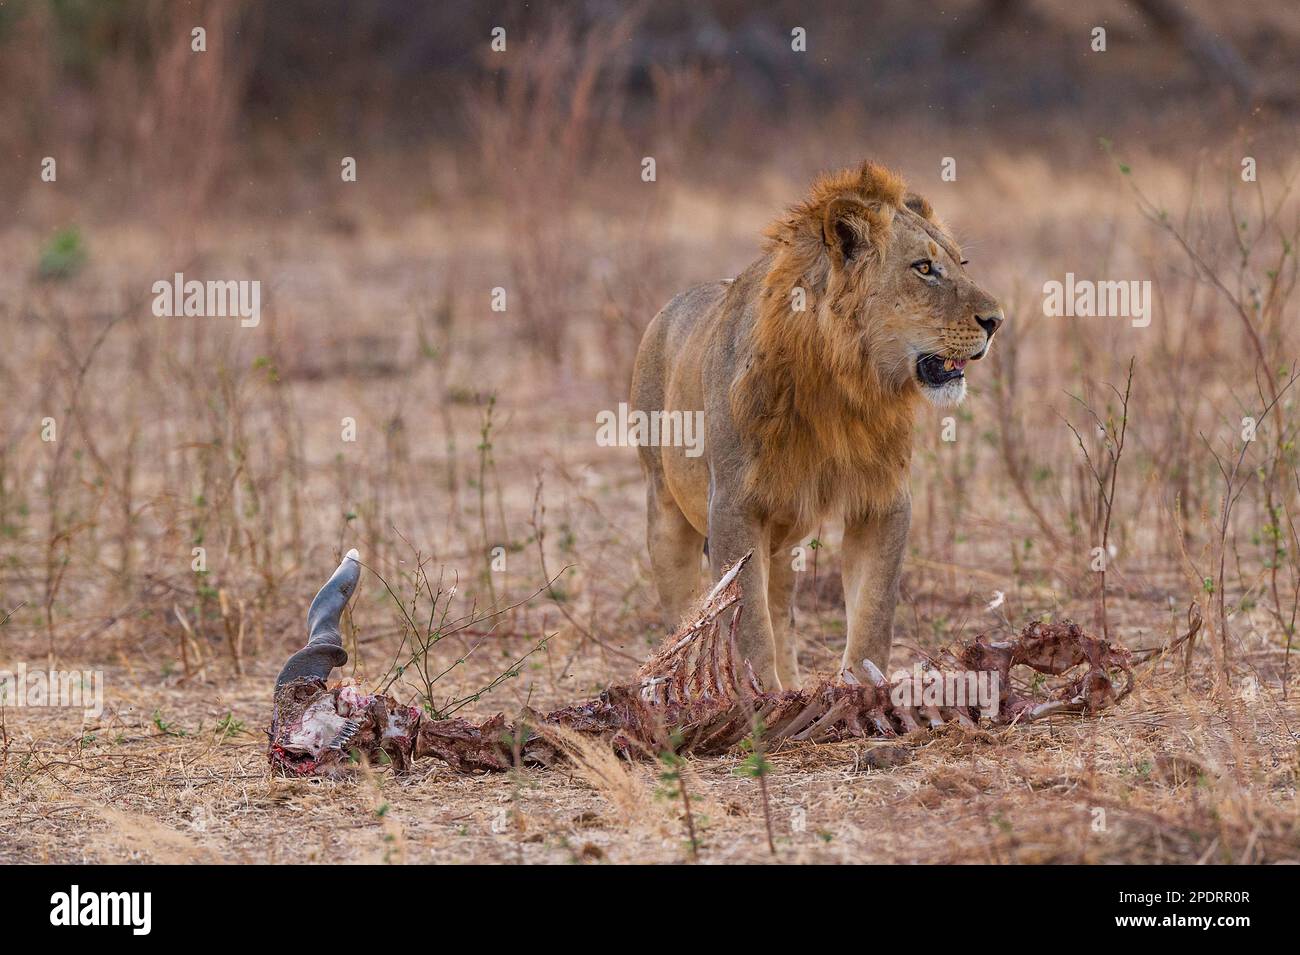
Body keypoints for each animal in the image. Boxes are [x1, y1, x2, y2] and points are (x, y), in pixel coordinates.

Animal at [630, 160, 1004, 690]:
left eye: (960, 263)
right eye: (924, 268)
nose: (997, 321)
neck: (843, 384)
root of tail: (667, 308)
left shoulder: (884, 500)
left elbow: (872, 615)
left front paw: (861, 693)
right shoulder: (733, 508)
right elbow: (748, 628)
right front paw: (759, 701)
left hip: (783, 538)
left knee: (782, 610)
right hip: (664, 509)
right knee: (682, 618)